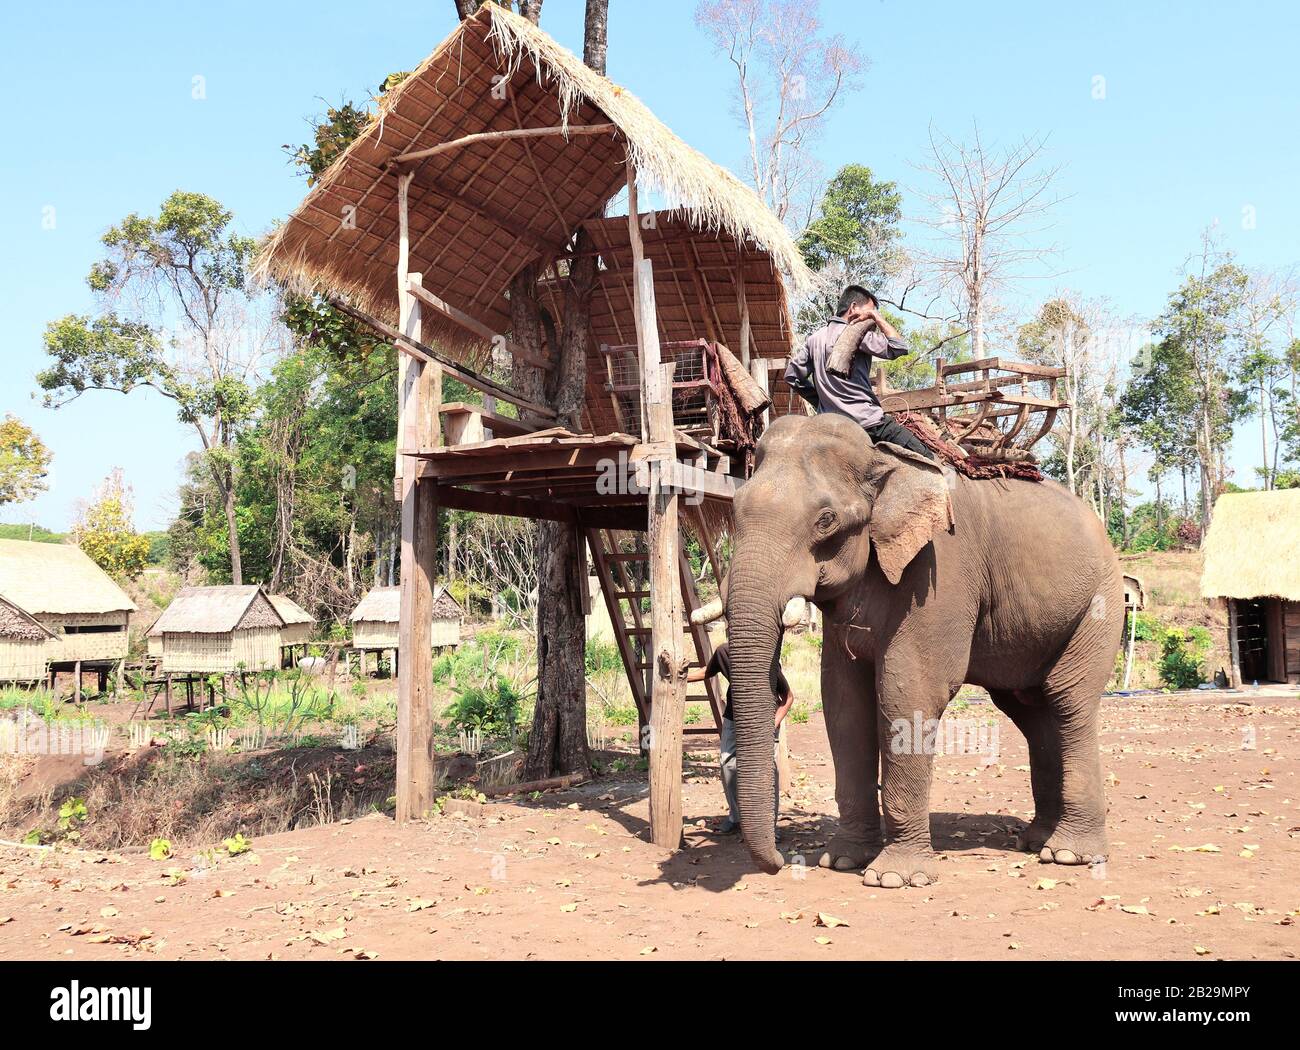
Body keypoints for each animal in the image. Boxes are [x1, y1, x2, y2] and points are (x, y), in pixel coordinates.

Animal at [724, 413, 1124, 887]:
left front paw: (893, 878)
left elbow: (908, 691)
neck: (883, 459)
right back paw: (1035, 842)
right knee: (1031, 710)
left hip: (1101, 603)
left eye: (826, 519)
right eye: (735, 507)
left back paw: (1067, 854)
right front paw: (842, 861)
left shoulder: (940, 568)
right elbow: (843, 700)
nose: (780, 861)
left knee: (1068, 701)